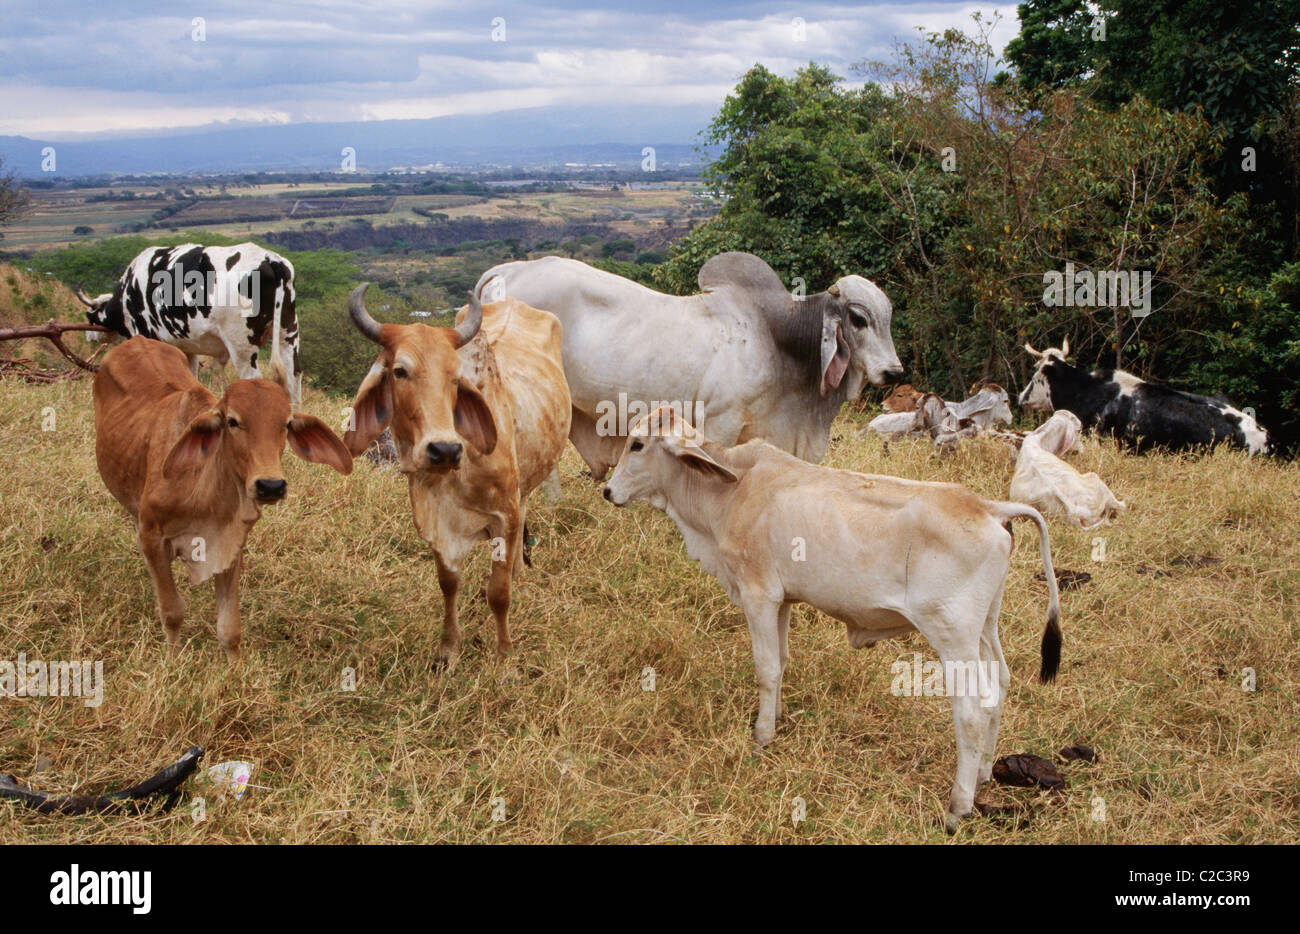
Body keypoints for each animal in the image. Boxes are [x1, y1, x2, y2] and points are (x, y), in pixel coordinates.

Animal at [75, 242, 303, 405]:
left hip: (242, 347)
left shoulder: (147, 336)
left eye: (89, 317)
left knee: (253, 380)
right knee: (293, 379)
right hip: (288, 335)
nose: (89, 335)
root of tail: (271, 260)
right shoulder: (188, 349)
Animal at [93, 337, 352, 662]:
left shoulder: (232, 543)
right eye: (232, 421)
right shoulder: (153, 536)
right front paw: (173, 661)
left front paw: (235, 668)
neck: (203, 493)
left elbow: (229, 628)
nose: (270, 485)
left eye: (286, 424)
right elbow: (173, 611)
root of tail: (136, 339)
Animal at [342, 285, 571, 669]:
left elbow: (499, 593)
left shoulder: (504, 516)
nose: (443, 449)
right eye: (400, 371)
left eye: (454, 375)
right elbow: (448, 584)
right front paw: (448, 651)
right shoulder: (434, 520)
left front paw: (504, 658)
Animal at [475, 252, 904, 478]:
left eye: (889, 317)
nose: (895, 372)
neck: (777, 337)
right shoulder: (720, 421)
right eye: (858, 319)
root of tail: (509, 269)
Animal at [602, 405, 1063, 832]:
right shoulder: (783, 600)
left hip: (952, 636)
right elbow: (782, 660)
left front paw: (762, 736)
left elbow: (766, 668)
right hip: (985, 627)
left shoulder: (758, 595)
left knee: (972, 709)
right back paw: (984, 774)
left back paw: (958, 805)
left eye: (637, 444)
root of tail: (987, 506)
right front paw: (778, 718)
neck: (731, 490)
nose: (607, 490)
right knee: (999, 686)